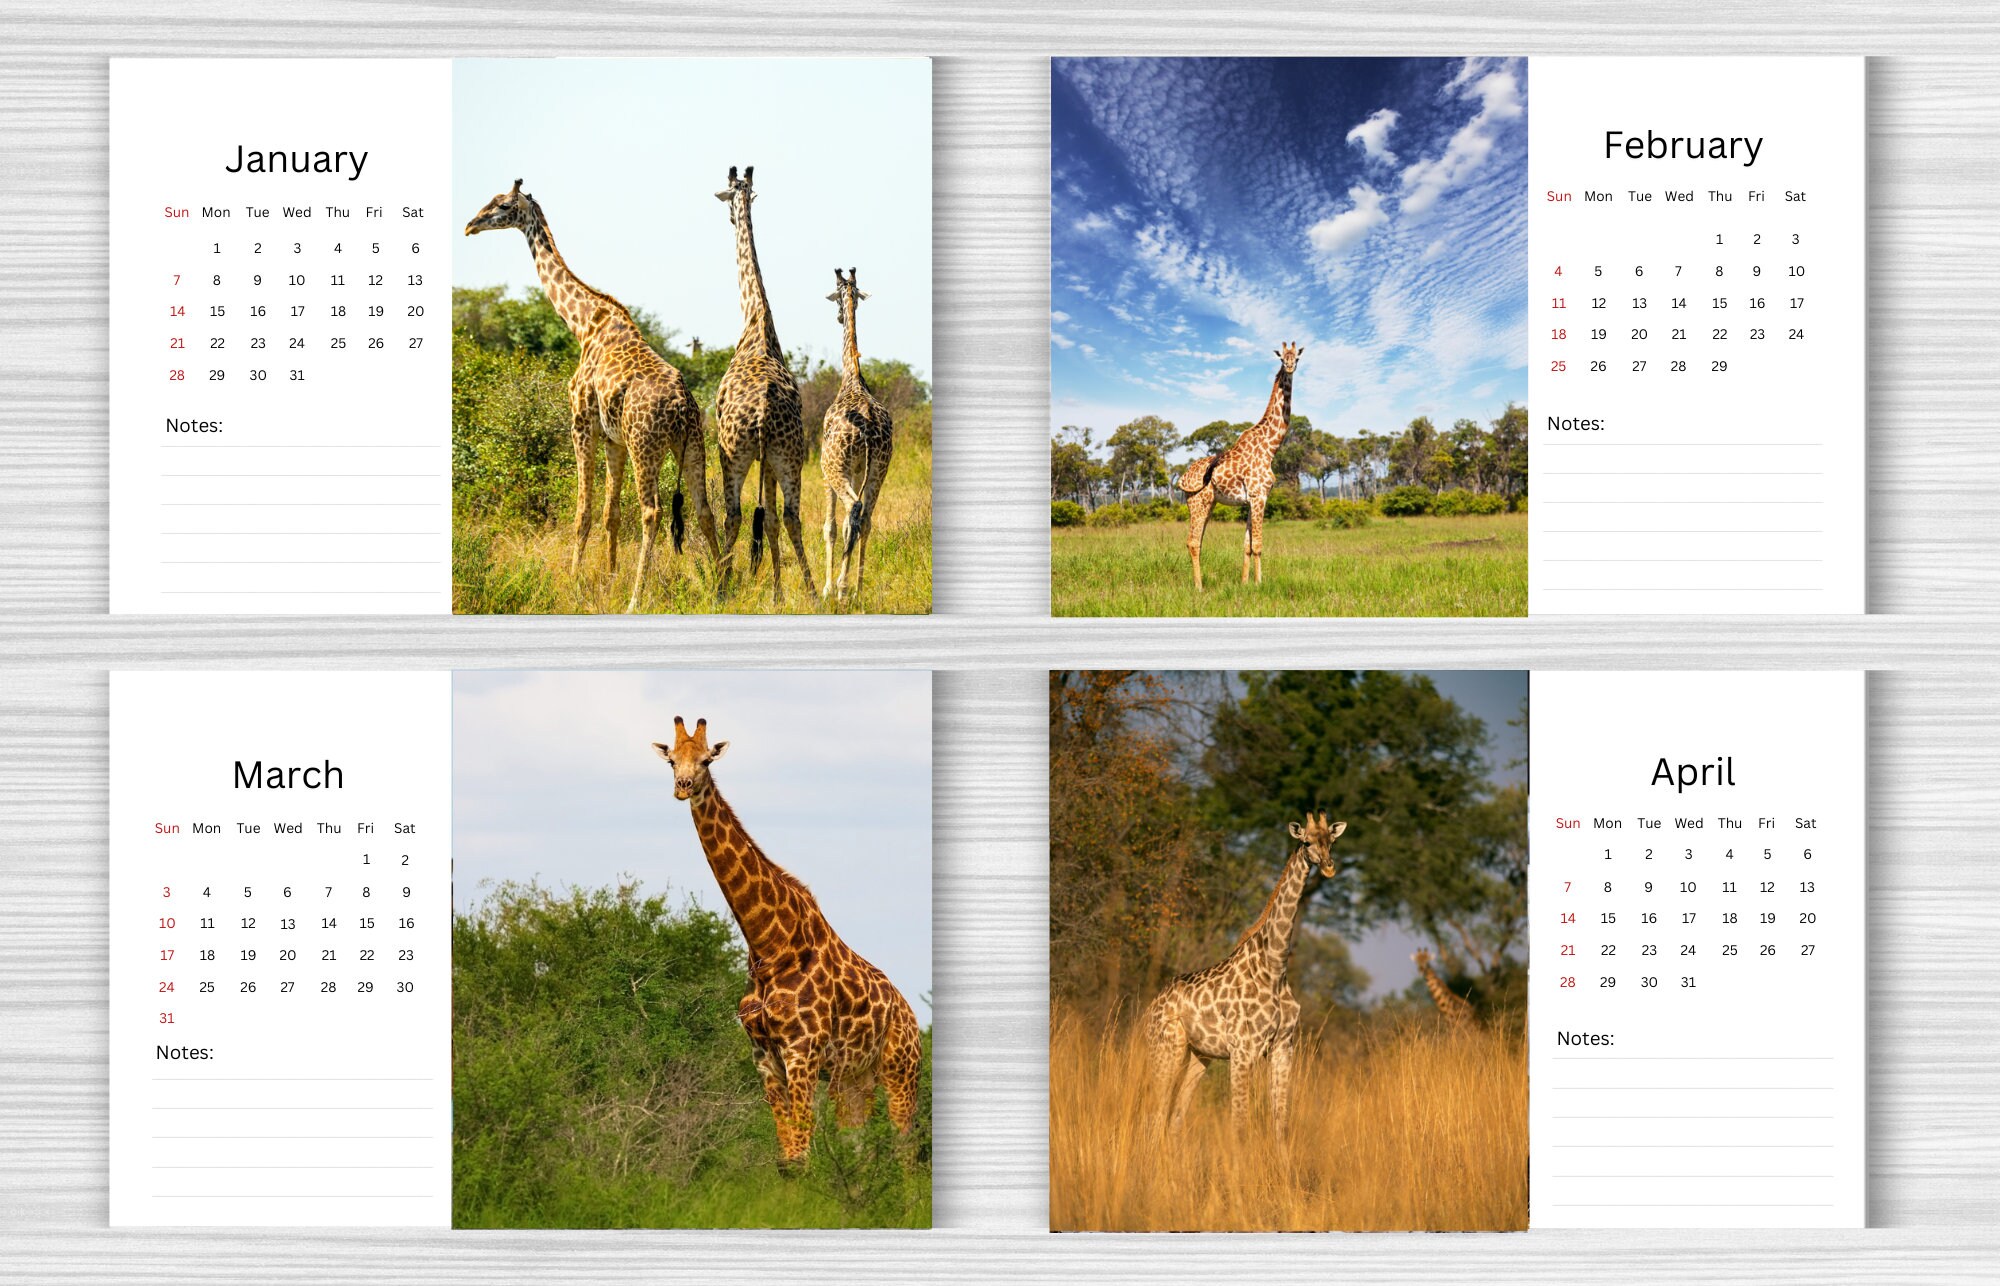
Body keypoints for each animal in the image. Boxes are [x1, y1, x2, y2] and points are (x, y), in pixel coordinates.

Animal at [463, 180, 720, 612]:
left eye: (502, 206)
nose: (470, 225)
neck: (582, 323)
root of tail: (683, 407)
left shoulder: (581, 424)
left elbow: (582, 511)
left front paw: (575, 582)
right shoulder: (613, 439)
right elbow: (609, 513)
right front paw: (609, 577)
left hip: (646, 445)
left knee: (651, 511)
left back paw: (637, 598)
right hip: (692, 444)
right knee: (704, 509)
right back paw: (722, 585)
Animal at [653, 716, 920, 1168]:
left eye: (707, 760)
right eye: (672, 760)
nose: (684, 786)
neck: (768, 945)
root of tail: (912, 1016)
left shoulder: (802, 1051)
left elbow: (800, 1157)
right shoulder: (764, 1057)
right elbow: (787, 1157)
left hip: (901, 1069)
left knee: (906, 1150)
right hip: (855, 1080)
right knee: (861, 1150)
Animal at [1143, 812, 1346, 1141]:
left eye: (1332, 840)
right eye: (1306, 842)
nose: (1328, 867)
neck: (1274, 967)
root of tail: (1149, 1011)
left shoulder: (1282, 1048)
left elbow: (1280, 1123)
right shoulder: (1242, 1050)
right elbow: (1239, 1123)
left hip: (1199, 1056)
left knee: (1175, 1116)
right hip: (1165, 1049)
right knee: (1155, 1113)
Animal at [1174, 342, 1304, 590]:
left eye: (1298, 357)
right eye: (1281, 357)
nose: (1290, 366)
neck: (1270, 447)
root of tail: (1182, 478)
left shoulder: (1251, 499)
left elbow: (1247, 545)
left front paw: (1245, 583)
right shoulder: (1259, 495)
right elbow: (1258, 545)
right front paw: (1259, 583)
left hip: (1208, 503)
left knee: (1198, 541)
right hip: (1198, 501)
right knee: (1193, 542)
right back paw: (1199, 587)